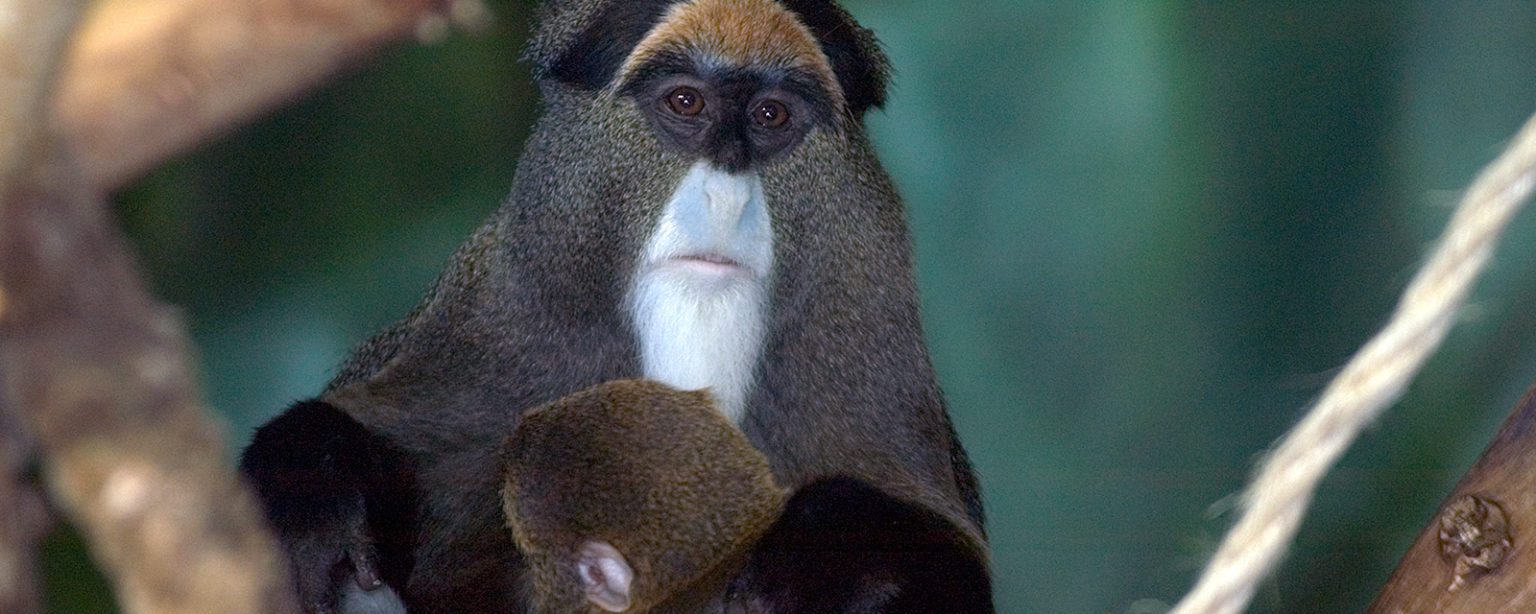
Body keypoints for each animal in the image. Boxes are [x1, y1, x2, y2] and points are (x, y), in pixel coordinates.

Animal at [239, 0, 990, 611]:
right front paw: (314, 504)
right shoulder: (491, 330)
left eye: (771, 115)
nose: (725, 194)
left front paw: (817, 556)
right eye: (685, 103)